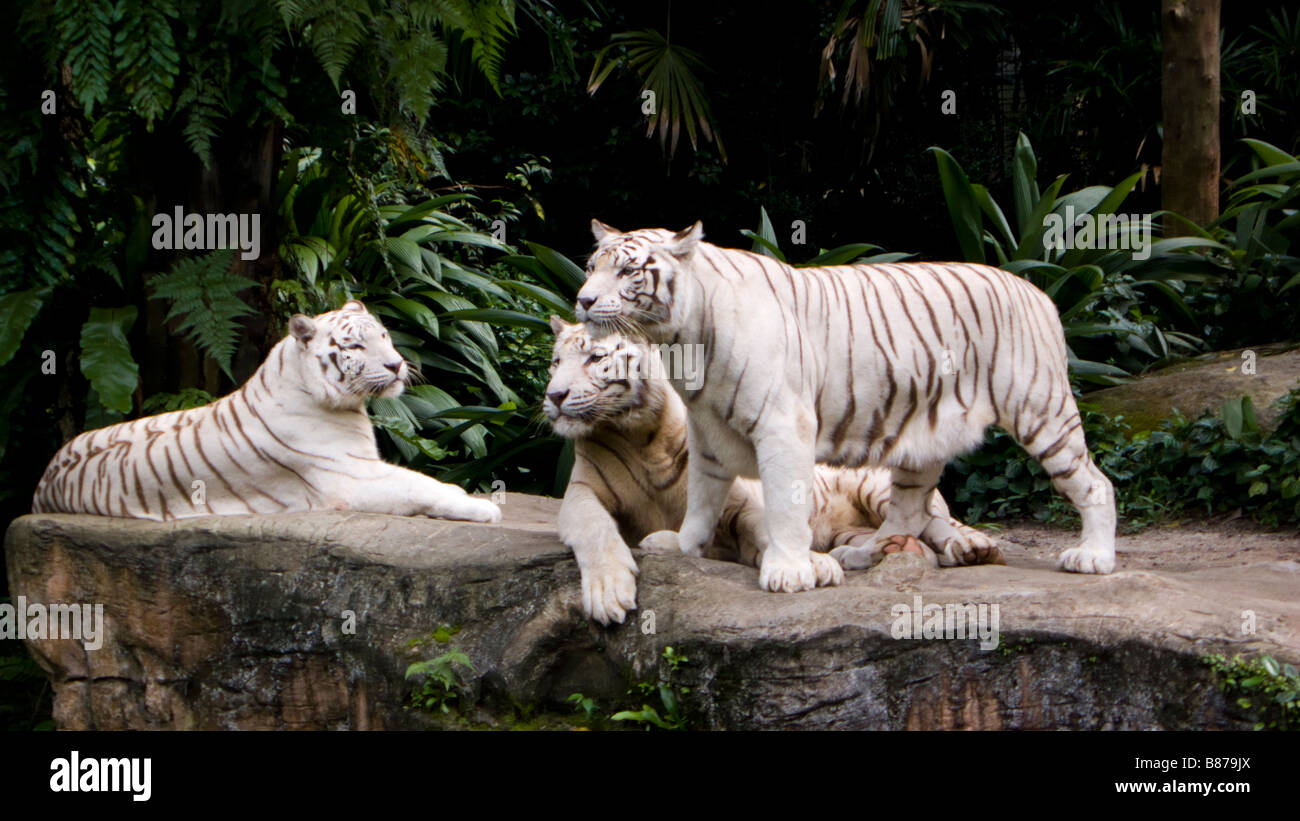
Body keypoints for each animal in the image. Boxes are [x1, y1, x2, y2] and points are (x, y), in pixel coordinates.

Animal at [31, 300, 502, 524]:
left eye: (383, 335)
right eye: (355, 345)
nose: (395, 365)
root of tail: (42, 483)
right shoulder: (348, 480)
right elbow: (420, 485)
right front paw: (483, 509)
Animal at [544, 316, 1001, 625]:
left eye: (596, 357)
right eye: (555, 361)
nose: (553, 395)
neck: (642, 436)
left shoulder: (742, 501)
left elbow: (767, 527)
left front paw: (808, 567)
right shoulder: (581, 493)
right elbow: (596, 530)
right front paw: (609, 593)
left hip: (879, 488)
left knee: (933, 519)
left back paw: (973, 546)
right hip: (848, 531)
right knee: (893, 540)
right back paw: (884, 551)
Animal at [574, 220, 1117, 594]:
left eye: (627, 271)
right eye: (591, 267)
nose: (582, 300)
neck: (681, 340)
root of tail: (1039, 292)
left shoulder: (783, 426)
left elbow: (783, 505)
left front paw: (788, 572)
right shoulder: (708, 433)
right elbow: (702, 501)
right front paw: (683, 546)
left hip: (1041, 411)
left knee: (1095, 483)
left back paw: (1093, 557)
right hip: (922, 442)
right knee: (907, 515)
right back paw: (866, 555)